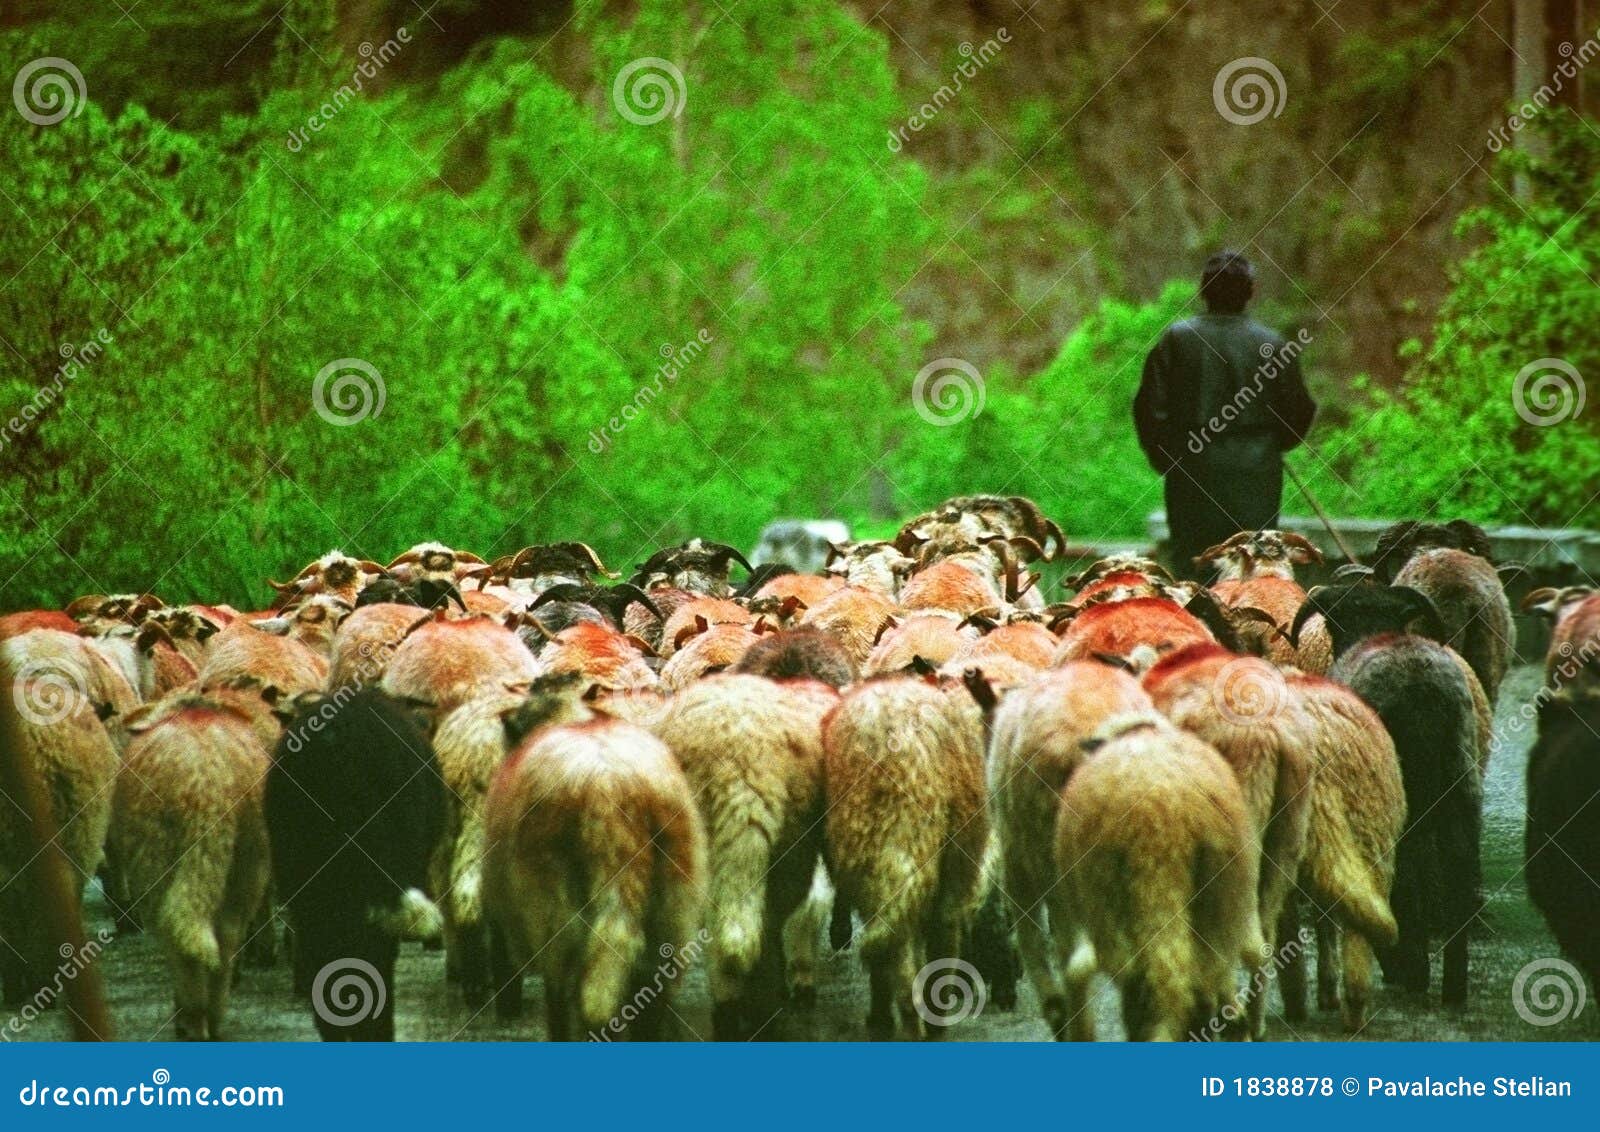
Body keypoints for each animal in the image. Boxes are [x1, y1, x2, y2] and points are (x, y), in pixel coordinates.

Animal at [110, 687, 278, 1039]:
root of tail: (206, 782)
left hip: (154, 852)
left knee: (174, 930)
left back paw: (191, 1019)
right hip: (250, 853)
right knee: (227, 933)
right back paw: (212, 1017)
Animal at [822, 676, 989, 1039]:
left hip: (873, 848)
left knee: (899, 947)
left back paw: (902, 1020)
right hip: (951, 851)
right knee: (938, 929)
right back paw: (931, 1019)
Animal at [1142, 644, 1314, 1038]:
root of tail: (1267, 730)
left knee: (1234, 930)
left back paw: (1226, 1015)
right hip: (1288, 830)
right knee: (1262, 932)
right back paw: (1253, 1021)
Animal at [1295, 584, 1482, 1004]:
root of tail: (1422, 686)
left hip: (1401, 786)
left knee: (1404, 865)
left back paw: (1412, 970)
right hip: (1459, 775)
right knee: (1459, 863)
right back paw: (1453, 986)